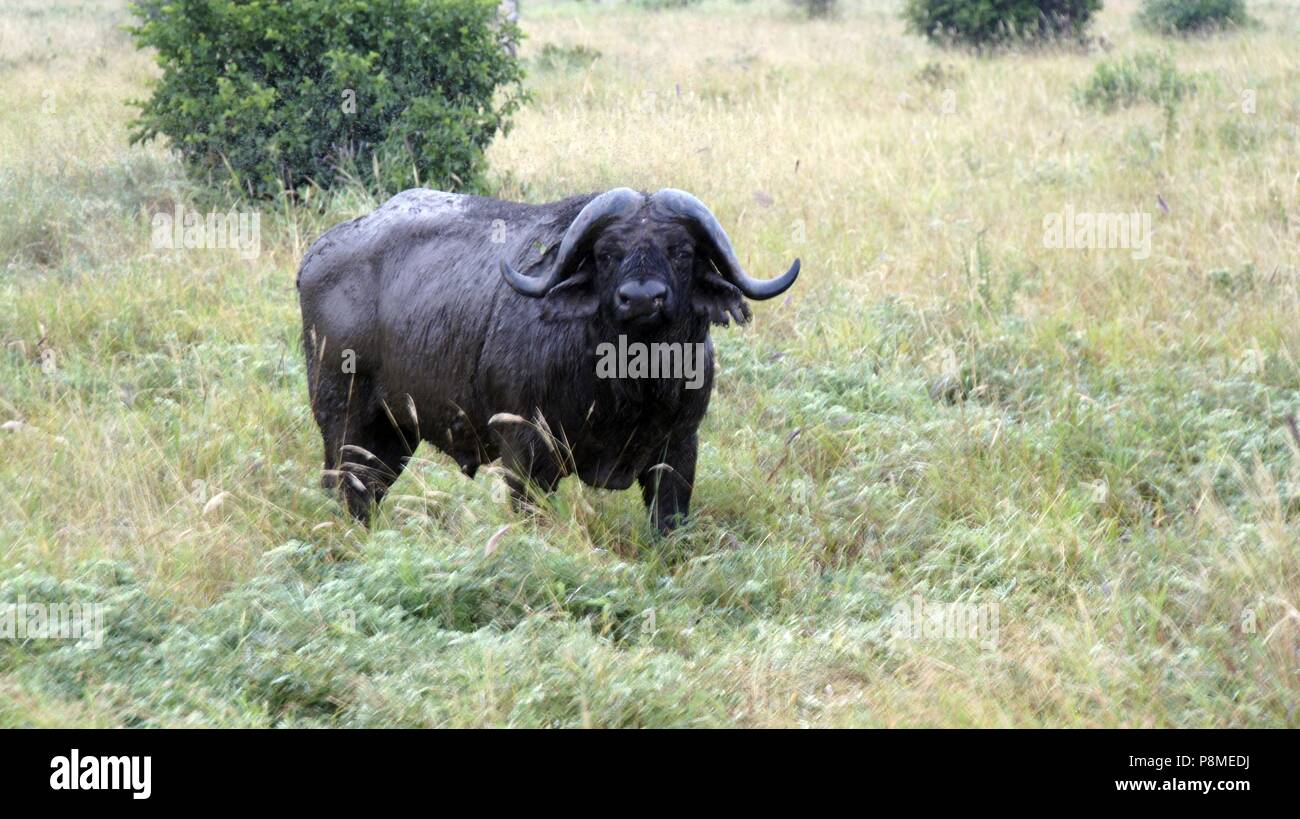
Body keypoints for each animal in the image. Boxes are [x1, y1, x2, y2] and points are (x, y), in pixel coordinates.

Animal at [297, 187, 800, 532]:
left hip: (395, 433)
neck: (629, 385)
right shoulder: (526, 455)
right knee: (347, 488)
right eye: (607, 253)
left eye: (681, 251)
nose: (641, 298)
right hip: (345, 420)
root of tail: (317, 254)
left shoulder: (679, 449)